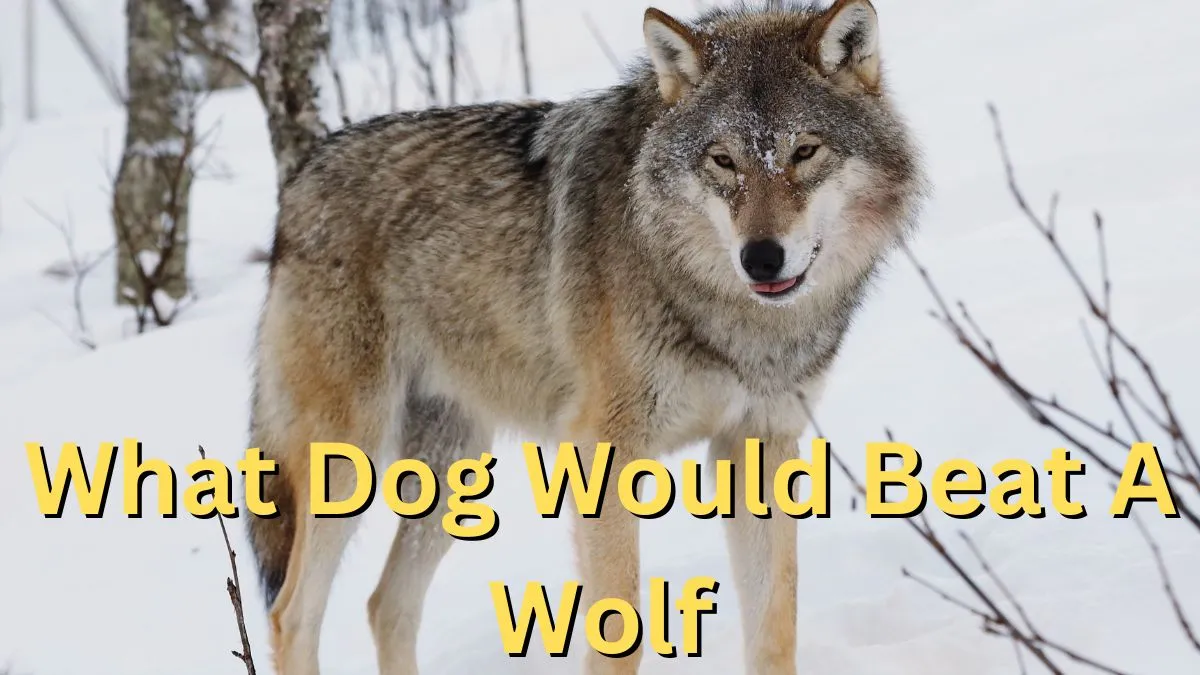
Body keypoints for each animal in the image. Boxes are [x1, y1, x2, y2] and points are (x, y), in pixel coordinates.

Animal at [248, 1, 925, 674]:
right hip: (347, 460)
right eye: (723, 160)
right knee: (291, 615)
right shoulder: (605, 451)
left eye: (805, 151)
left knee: (385, 605)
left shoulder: (757, 445)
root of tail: (300, 178)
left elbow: (775, 628)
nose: (761, 259)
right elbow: (620, 632)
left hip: (453, 468)